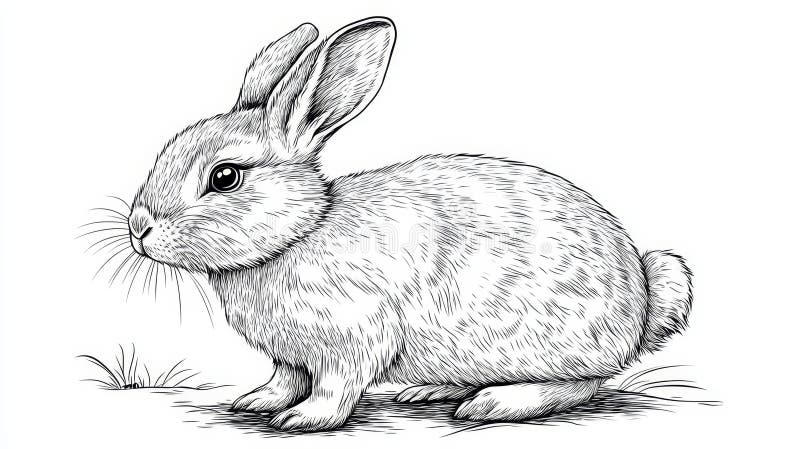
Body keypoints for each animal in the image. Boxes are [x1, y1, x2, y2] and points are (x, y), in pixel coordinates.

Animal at [127, 17, 693, 431]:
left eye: (224, 177)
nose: (138, 228)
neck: (300, 233)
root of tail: (643, 305)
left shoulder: (354, 338)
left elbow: (334, 386)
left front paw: (304, 419)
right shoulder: (291, 356)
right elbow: (284, 378)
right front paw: (257, 401)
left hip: (557, 346)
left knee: (581, 385)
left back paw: (493, 403)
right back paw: (428, 389)